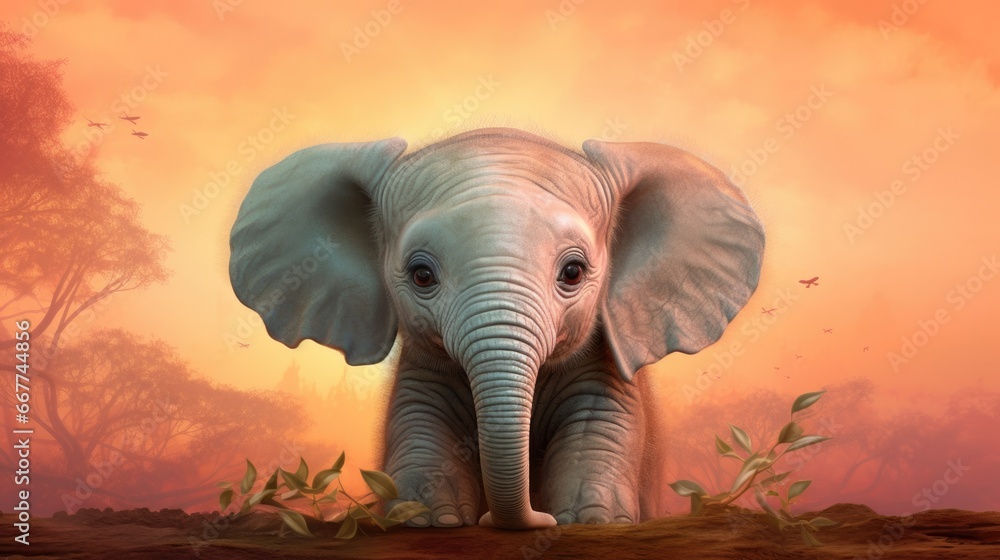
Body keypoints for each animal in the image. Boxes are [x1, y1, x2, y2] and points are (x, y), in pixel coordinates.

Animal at [228, 127, 765, 530]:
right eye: (421, 276)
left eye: (573, 272)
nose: (532, 518)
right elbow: (420, 421)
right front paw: (427, 520)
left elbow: (601, 425)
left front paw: (591, 521)